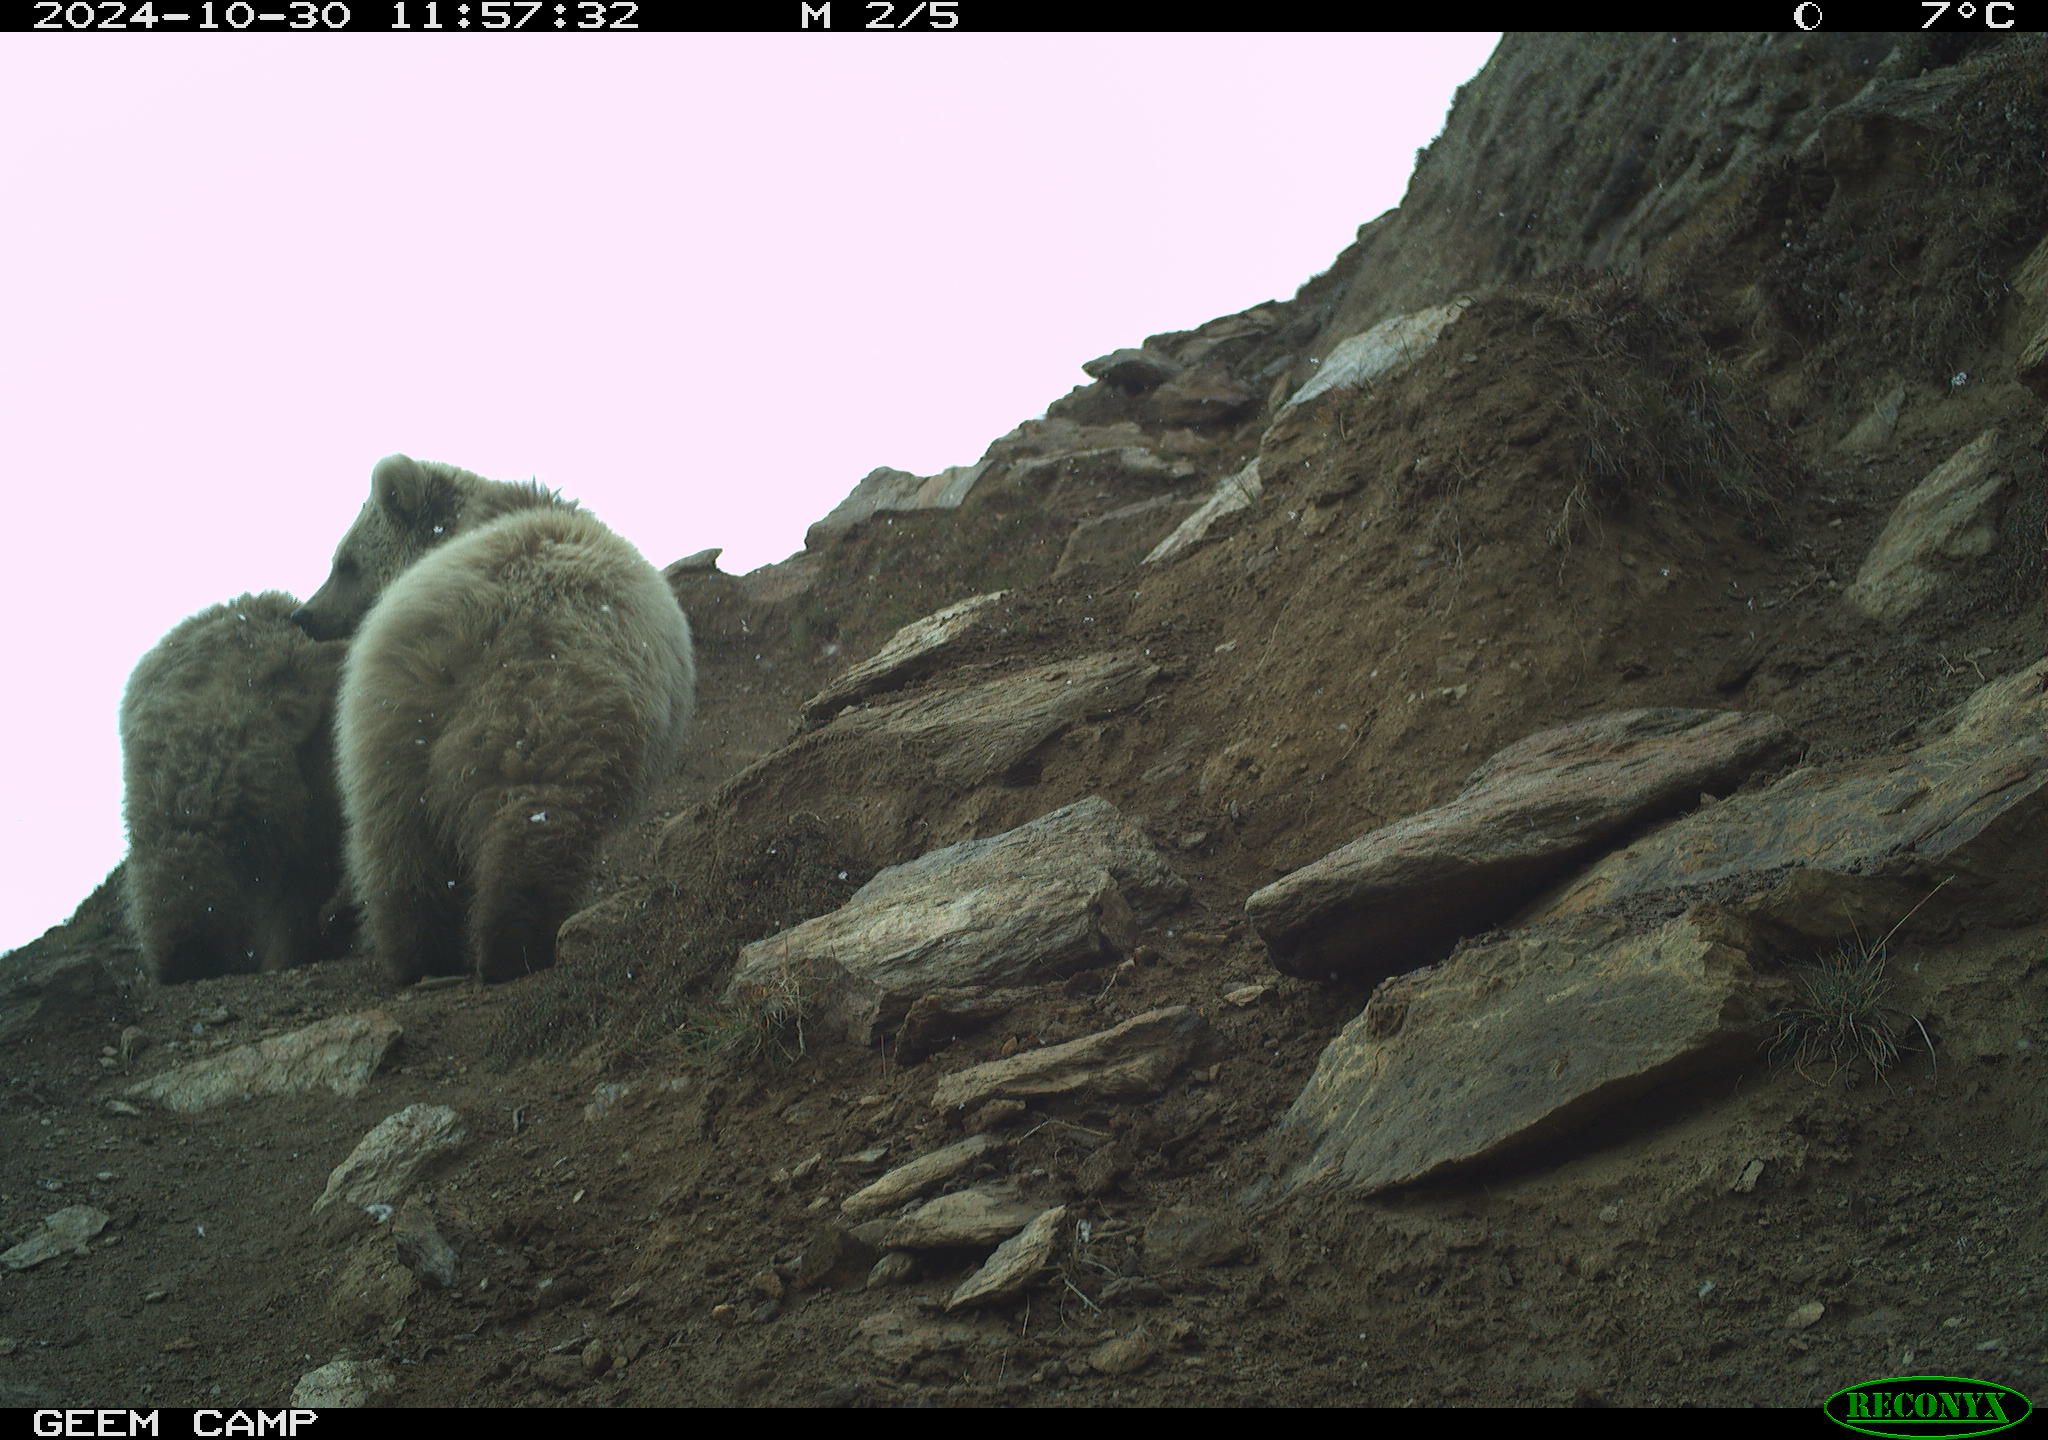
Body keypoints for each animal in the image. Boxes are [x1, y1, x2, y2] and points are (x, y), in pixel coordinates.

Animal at [306, 458, 696, 985]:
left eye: (344, 563)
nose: (303, 615)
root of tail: (454, 625)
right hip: (552, 691)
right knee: (537, 813)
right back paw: (516, 946)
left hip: (385, 716)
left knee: (393, 836)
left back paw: (420, 955)